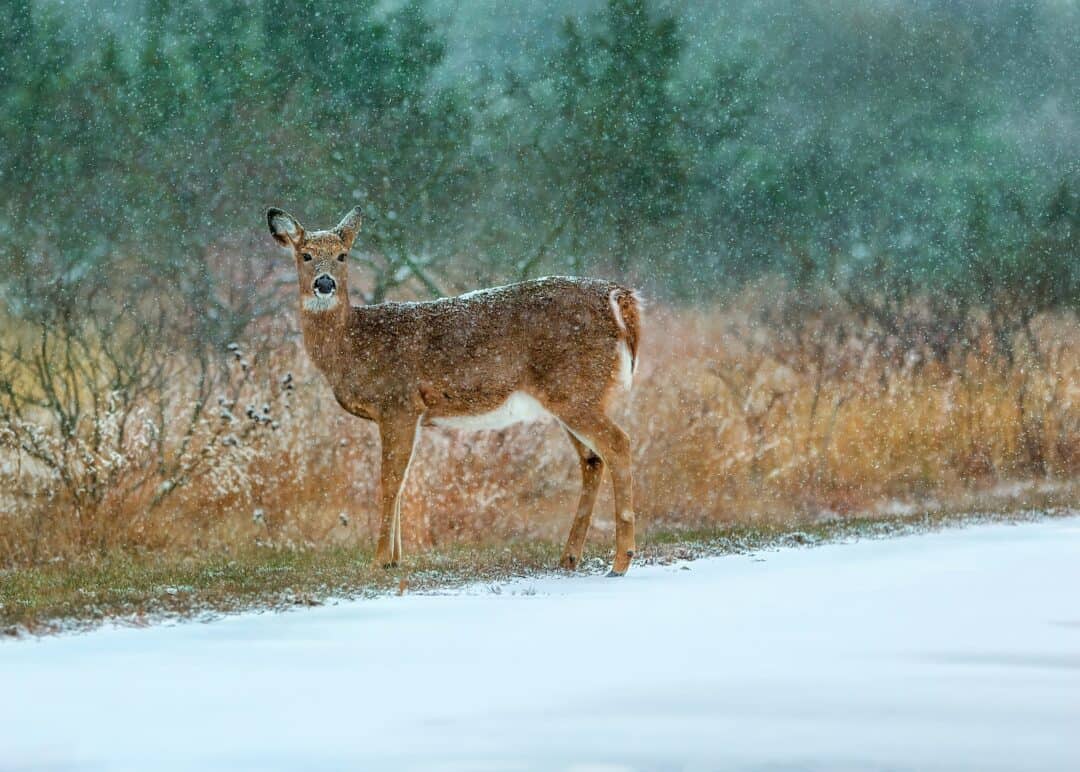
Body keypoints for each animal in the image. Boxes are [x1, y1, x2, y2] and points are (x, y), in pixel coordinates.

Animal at [267, 206, 642, 575]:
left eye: (342, 255)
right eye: (305, 255)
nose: (324, 283)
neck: (352, 345)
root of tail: (620, 299)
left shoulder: (398, 403)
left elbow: (390, 481)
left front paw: (379, 560)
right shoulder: (407, 413)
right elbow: (402, 480)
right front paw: (395, 560)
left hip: (574, 388)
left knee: (618, 443)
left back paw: (621, 560)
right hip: (571, 394)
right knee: (592, 459)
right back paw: (570, 556)